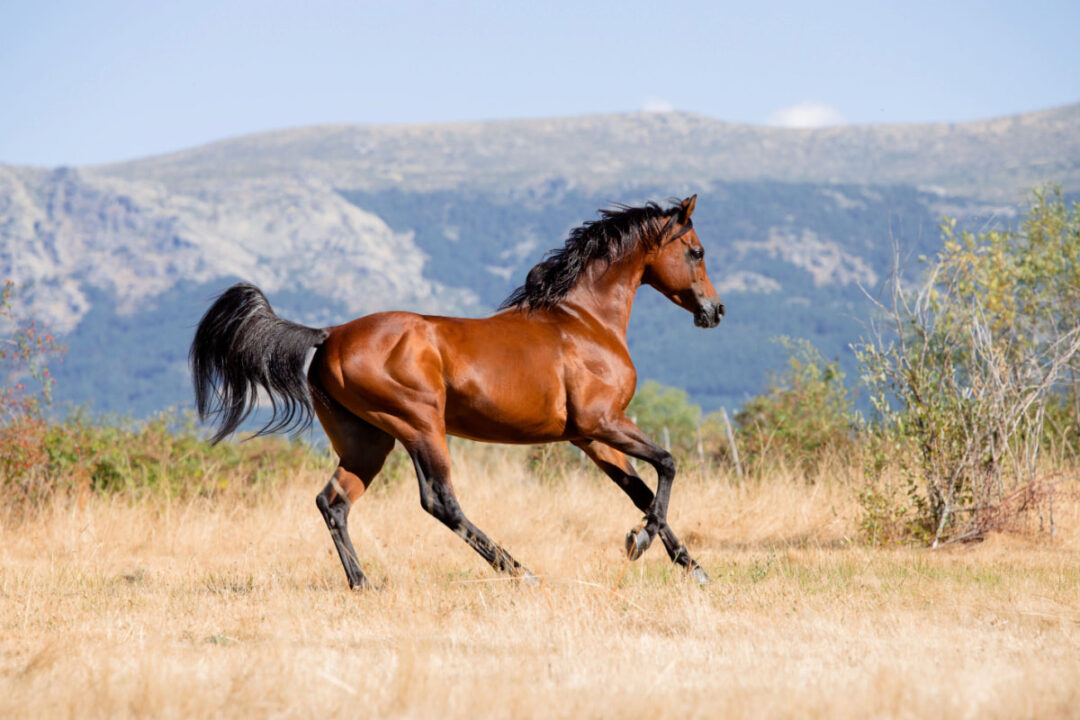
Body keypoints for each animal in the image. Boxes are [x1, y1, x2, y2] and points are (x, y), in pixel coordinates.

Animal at [190, 195, 724, 588]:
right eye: (696, 251)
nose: (715, 311)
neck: (583, 322)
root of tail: (329, 335)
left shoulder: (589, 436)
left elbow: (640, 490)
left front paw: (691, 566)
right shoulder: (604, 422)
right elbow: (668, 464)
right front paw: (640, 542)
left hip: (367, 441)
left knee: (333, 501)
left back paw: (363, 582)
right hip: (419, 425)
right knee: (440, 501)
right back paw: (519, 571)